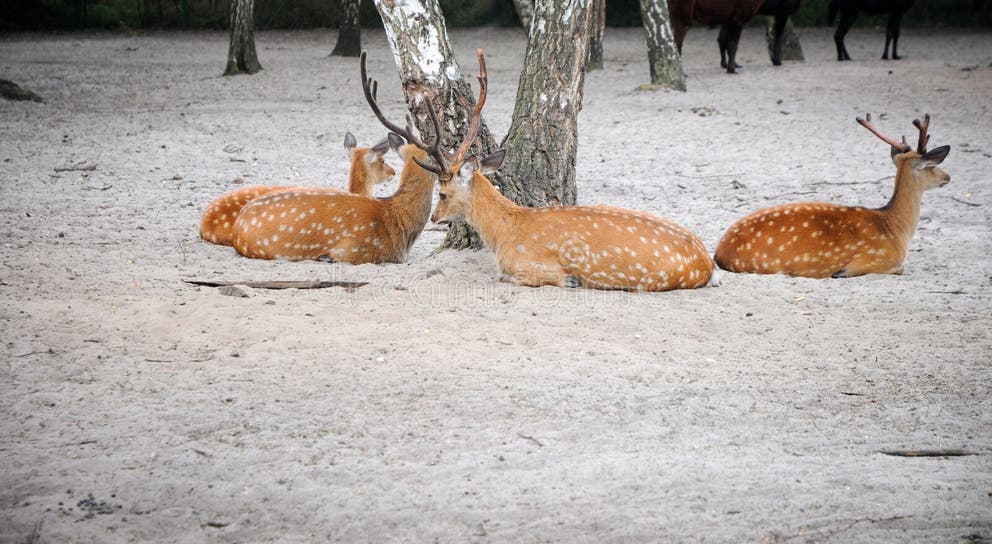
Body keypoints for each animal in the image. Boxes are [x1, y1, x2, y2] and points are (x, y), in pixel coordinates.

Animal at [426, 50, 715, 291]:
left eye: (442, 193)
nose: (433, 217)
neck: (504, 235)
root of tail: (708, 265)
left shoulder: (529, 266)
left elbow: (505, 276)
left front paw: (571, 280)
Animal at [714, 113, 950, 278]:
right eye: (931, 166)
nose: (947, 177)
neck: (895, 229)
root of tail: (719, 253)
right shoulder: (875, 259)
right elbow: (899, 269)